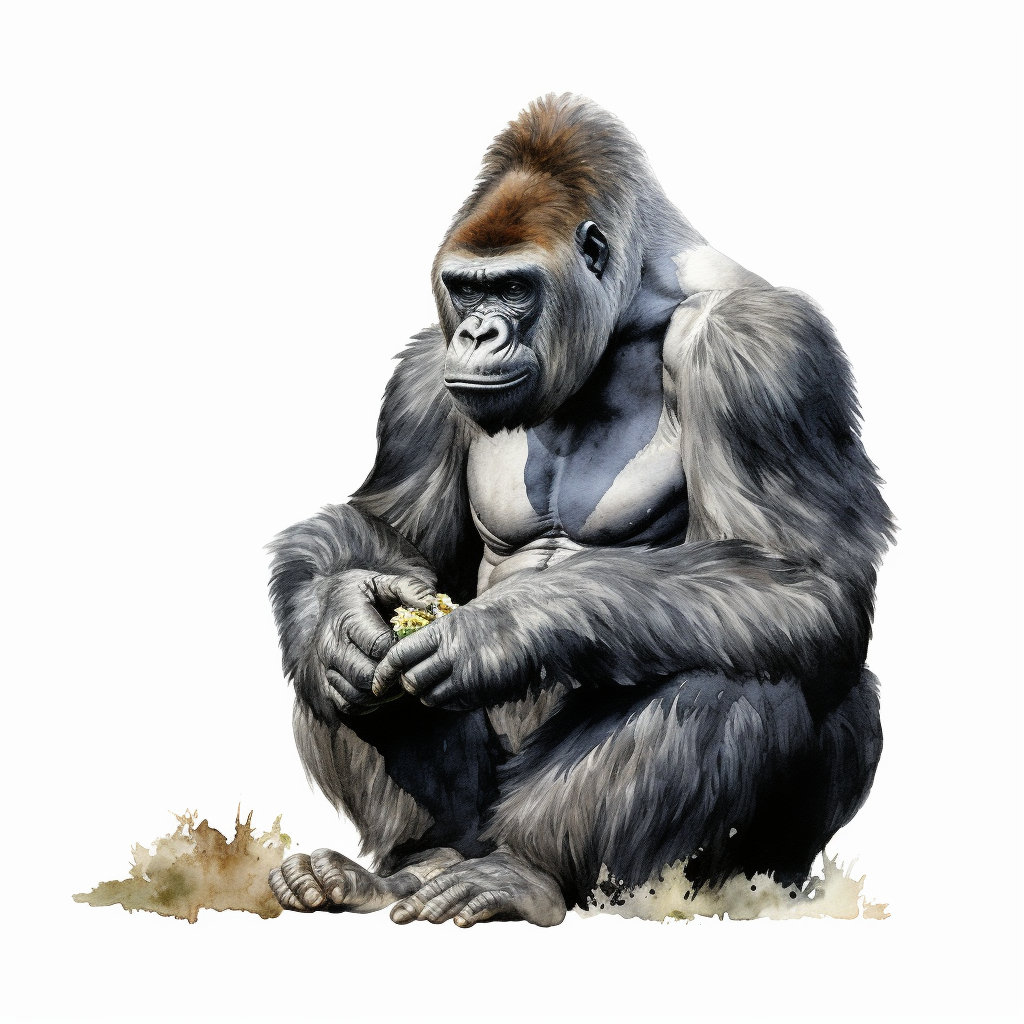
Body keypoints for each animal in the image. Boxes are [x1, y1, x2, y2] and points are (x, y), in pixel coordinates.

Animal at [267, 94, 894, 927]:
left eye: (514, 287)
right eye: (467, 289)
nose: (478, 332)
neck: (632, 307)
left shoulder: (761, 349)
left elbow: (807, 584)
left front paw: (505, 632)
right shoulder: (424, 371)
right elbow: (384, 533)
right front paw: (345, 617)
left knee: (742, 669)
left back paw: (530, 873)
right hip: (471, 818)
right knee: (332, 677)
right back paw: (403, 862)